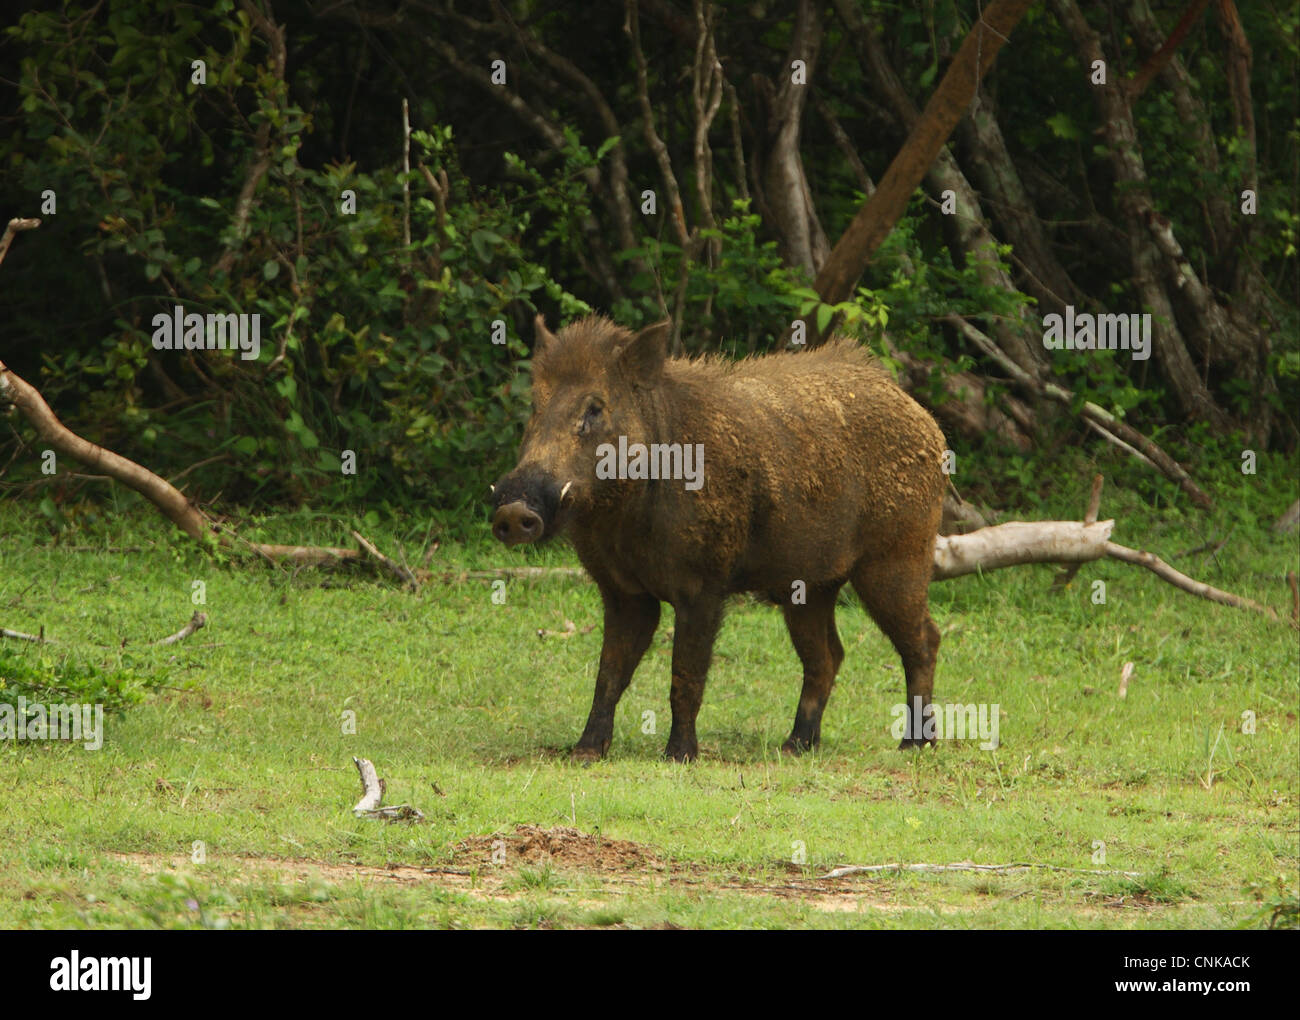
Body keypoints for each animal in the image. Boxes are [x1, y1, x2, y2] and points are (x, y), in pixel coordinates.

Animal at [491, 315, 946, 762]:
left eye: (595, 408)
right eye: (535, 405)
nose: (513, 511)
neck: (622, 518)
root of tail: (926, 422)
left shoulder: (703, 583)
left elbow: (685, 674)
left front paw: (678, 756)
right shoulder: (622, 591)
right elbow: (609, 674)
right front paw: (583, 753)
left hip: (898, 557)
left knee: (924, 638)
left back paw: (913, 745)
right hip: (811, 585)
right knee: (828, 655)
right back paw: (794, 746)